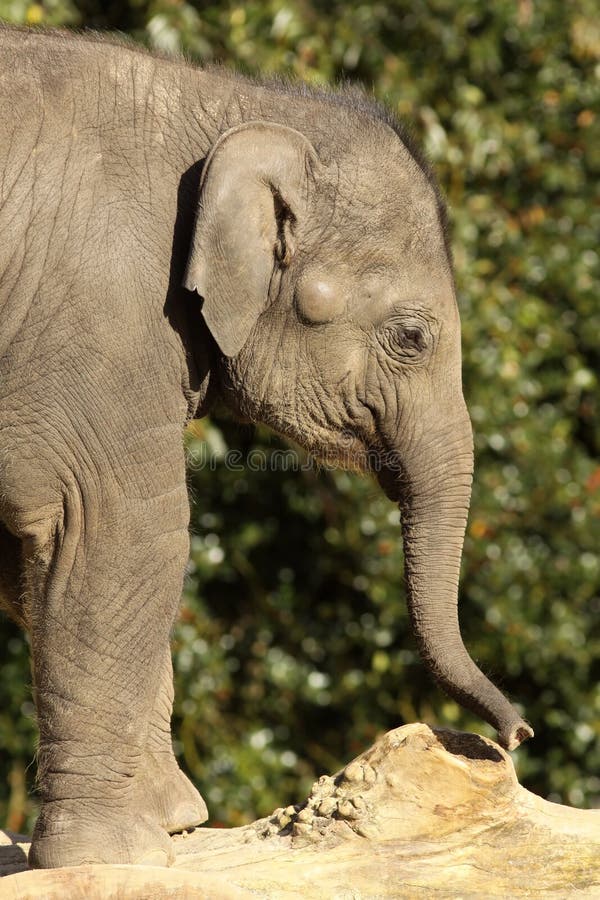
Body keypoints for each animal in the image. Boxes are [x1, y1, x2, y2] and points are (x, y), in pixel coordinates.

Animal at [0, 25, 533, 869]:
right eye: (412, 338)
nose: (515, 736)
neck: (232, 98)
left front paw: (174, 819)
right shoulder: (97, 317)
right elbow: (119, 530)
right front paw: (116, 855)